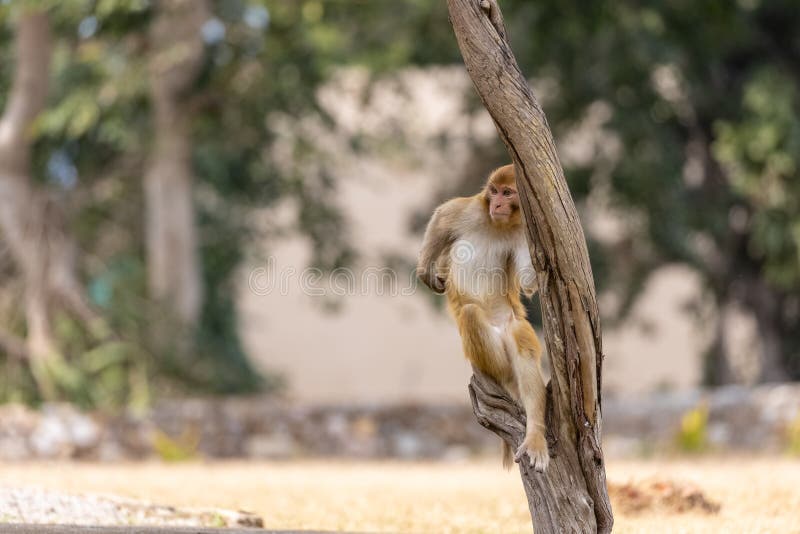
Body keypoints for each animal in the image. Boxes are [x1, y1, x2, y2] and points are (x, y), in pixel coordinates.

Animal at [417, 164, 549, 472]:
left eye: (508, 193)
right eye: (494, 191)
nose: (497, 204)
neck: (498, 224)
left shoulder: (523, 232)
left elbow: (528, 283)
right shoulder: (474, 210)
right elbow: (443, 216)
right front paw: (426, 268)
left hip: (509, 321)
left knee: (520, 340)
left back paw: (534, 436)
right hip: (479, 350)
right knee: (471, 314)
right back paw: (506, 381)